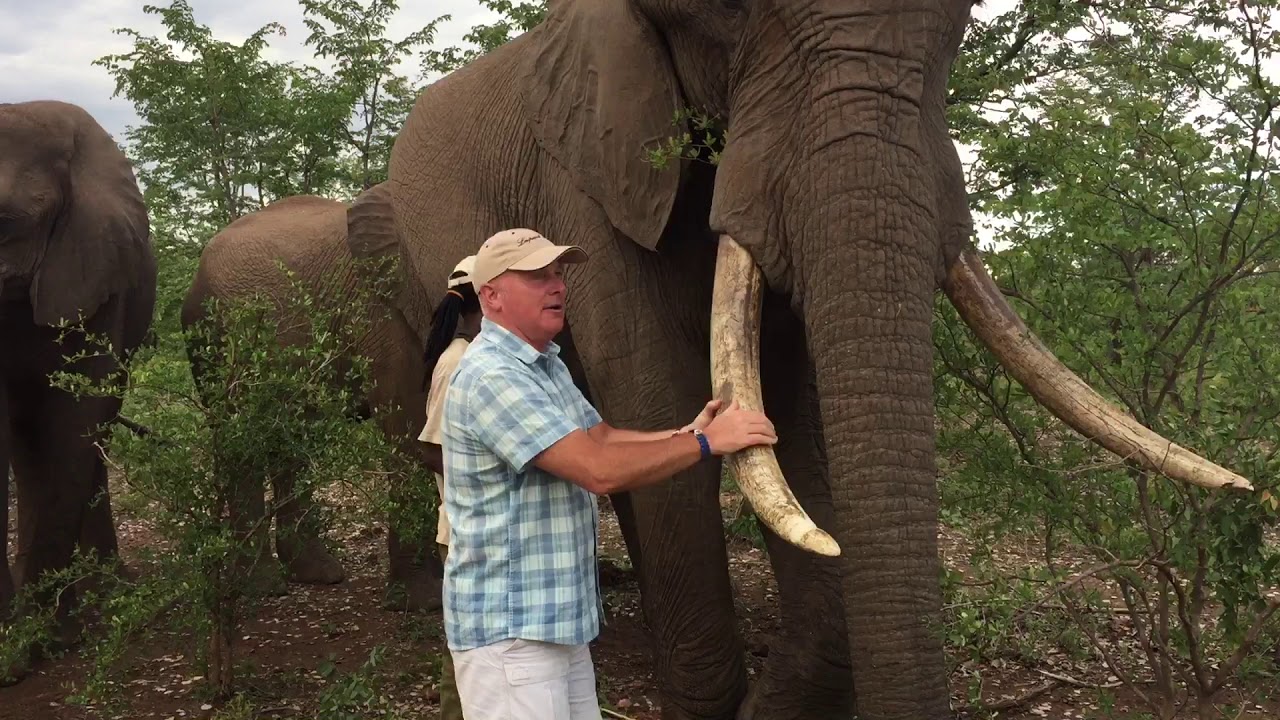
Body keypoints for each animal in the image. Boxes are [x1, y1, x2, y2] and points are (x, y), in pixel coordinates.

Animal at [179, 184, 445, 611]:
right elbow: (409, 418)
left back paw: (317, 574)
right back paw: (263, 588)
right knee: (242, 435)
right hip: (222, 329)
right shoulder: (385, 309)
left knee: (292, 434)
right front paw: (424, 601)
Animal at [368, 2, 1256, 719]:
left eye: (961, 19)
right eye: (726, 9)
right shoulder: (586, 174)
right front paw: (710, 699)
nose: (1252, 492)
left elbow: (796, 407)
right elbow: (655, 400)